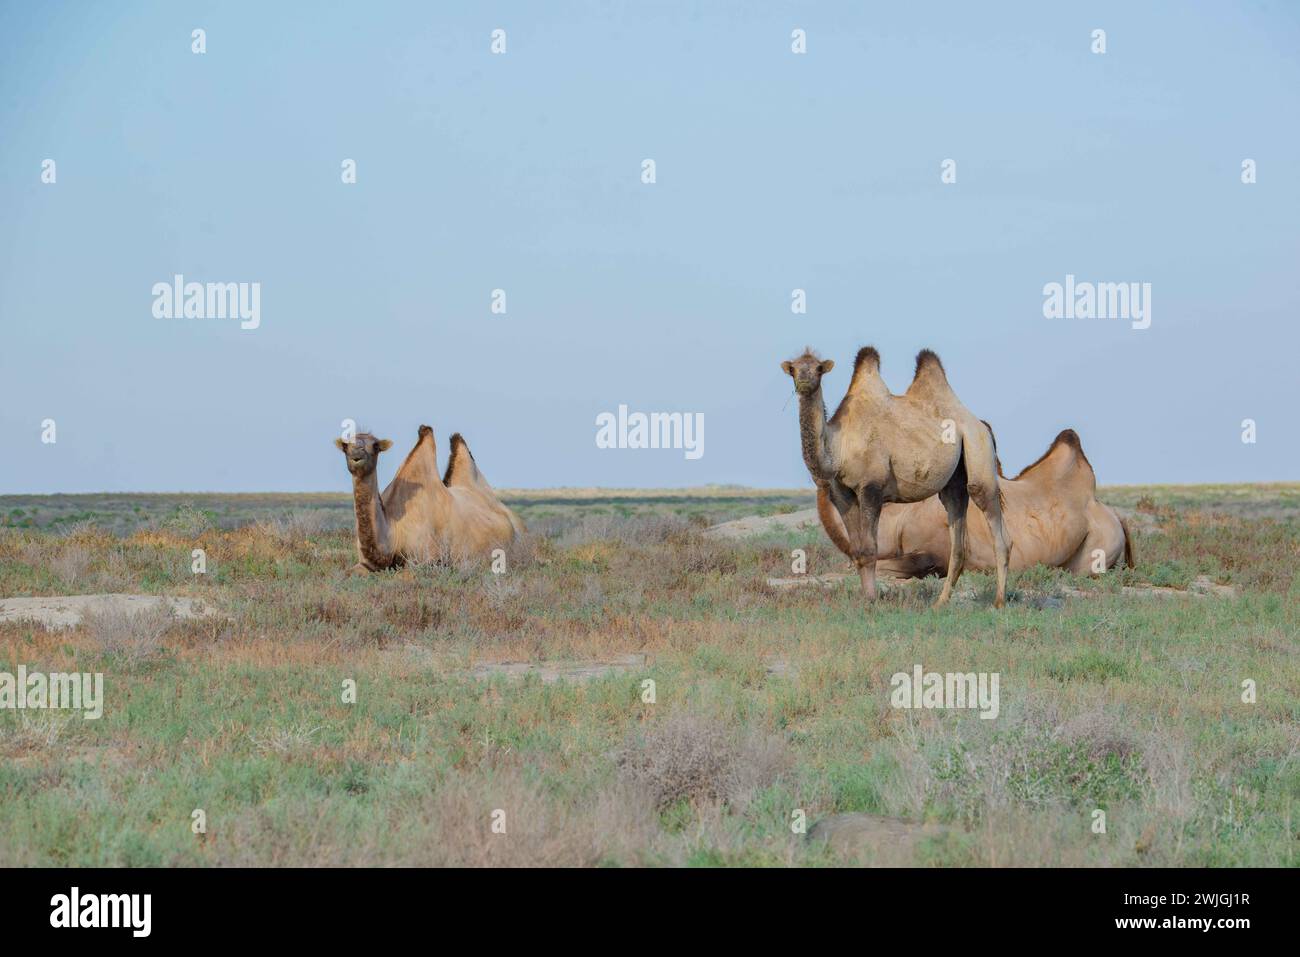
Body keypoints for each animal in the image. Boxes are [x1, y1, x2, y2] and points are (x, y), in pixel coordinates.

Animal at [335, 426, 524, 571]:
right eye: (345, 445)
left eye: (375, 446)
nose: (356, 455)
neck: (393, 533)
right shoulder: (365, 564)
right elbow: (347, 573)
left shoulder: (430, 560)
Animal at [782, 346, 1011, 607]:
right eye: (793, 369)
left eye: (818, 368)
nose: (804, 380)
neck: (838, 446)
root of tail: (981, 424)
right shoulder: (842, 494)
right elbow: (858, 550)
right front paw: (865, 599)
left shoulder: (871, 487)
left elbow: (869, 550)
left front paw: (872, 601)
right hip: (954, 480)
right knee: (956, 532)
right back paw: (940, 603)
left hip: (977, 448)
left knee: (989, 510)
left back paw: (999, 602)